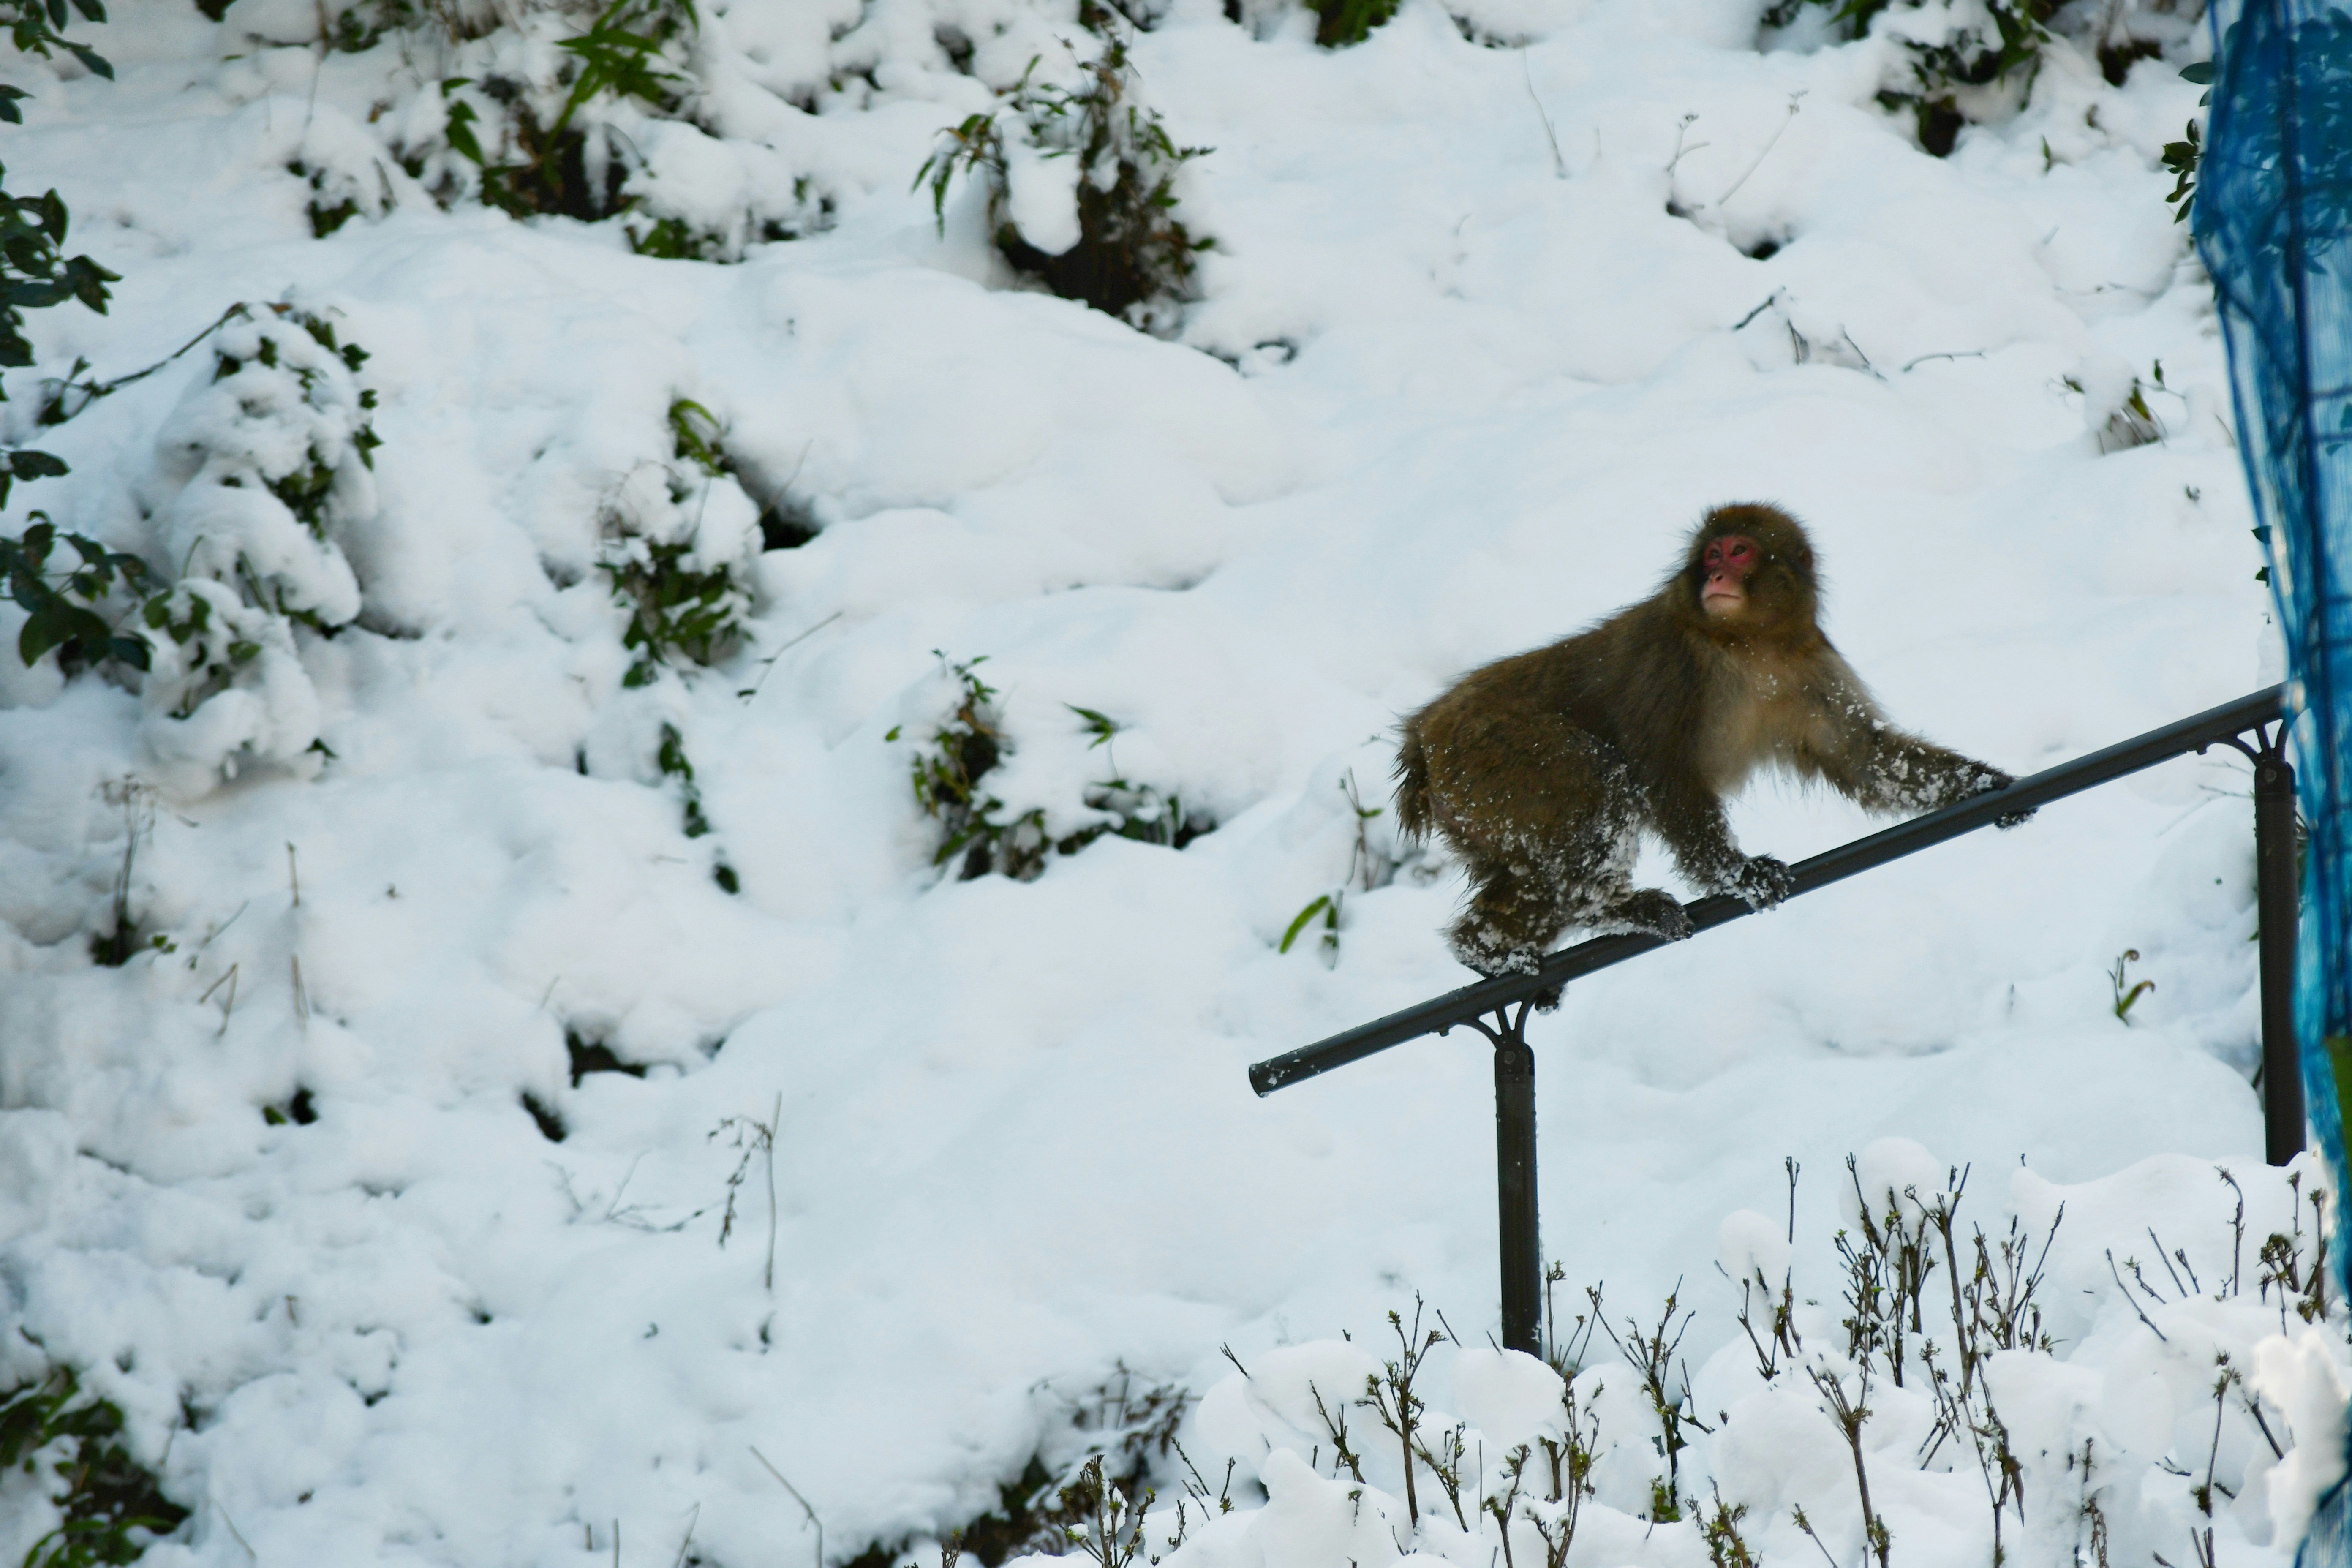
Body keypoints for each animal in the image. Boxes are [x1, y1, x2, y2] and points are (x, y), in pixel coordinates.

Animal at [1394, 502, 2025, 986]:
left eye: (1740, 552)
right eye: (1711, 556)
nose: (1716, 578)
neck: (1749, 643)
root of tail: (1424, 740)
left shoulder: (1811, 669)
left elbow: (1866, 761)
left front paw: (1984, 785)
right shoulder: (1672, 663)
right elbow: (1662, 768)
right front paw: (1737, 873)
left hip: (1482, 805)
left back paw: (1485, 947)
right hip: (1497, 757)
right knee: (1596, 786)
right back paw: (1613, 907)